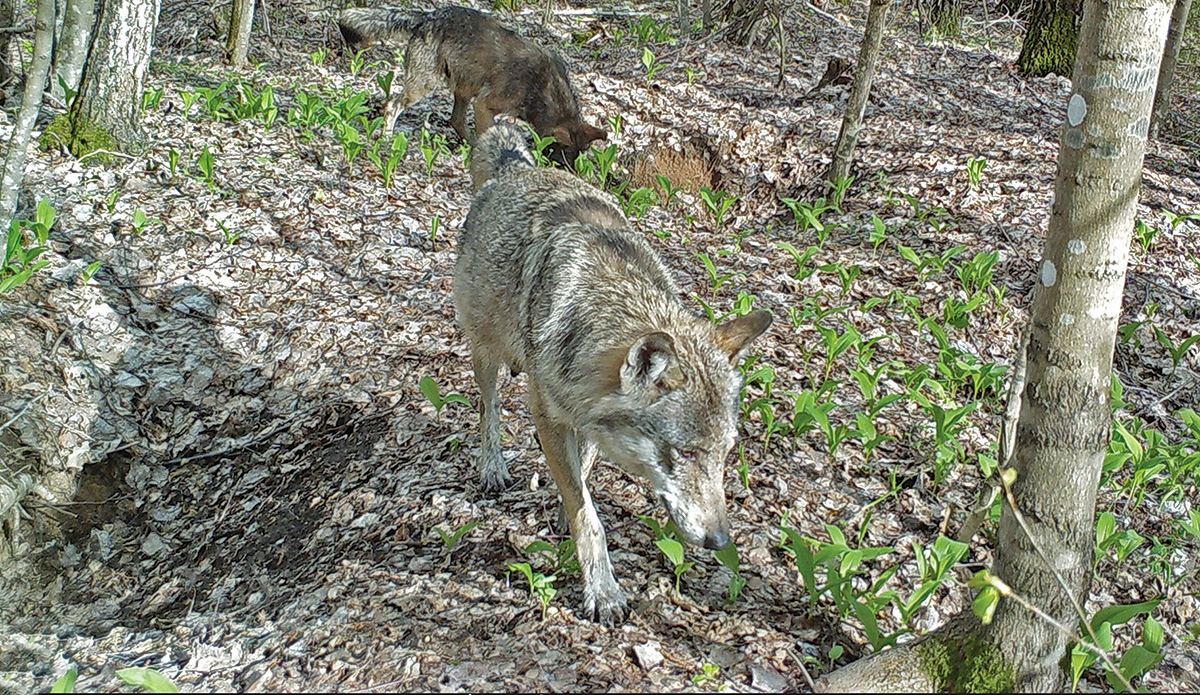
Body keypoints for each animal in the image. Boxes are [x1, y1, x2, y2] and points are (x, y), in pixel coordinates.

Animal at [337, 5, 607, 165]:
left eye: (578, 157)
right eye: (564, 156)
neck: (543, 89)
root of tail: (427, 16)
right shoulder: (485, 105)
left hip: (463, 89)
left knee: (455, 120)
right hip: (425, 87)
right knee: (392, 105)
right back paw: (387, 138)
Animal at [455, 124, 772, 622]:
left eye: (726, 454)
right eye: (686, 453)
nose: (721, 541)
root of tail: (515, 167)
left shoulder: (583, 416)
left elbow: (581, 478)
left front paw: (564, 511)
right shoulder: (548, 416)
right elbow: (589, 517)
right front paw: (602, 590)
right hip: (484, 350)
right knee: (489, 408)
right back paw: (492, 467)